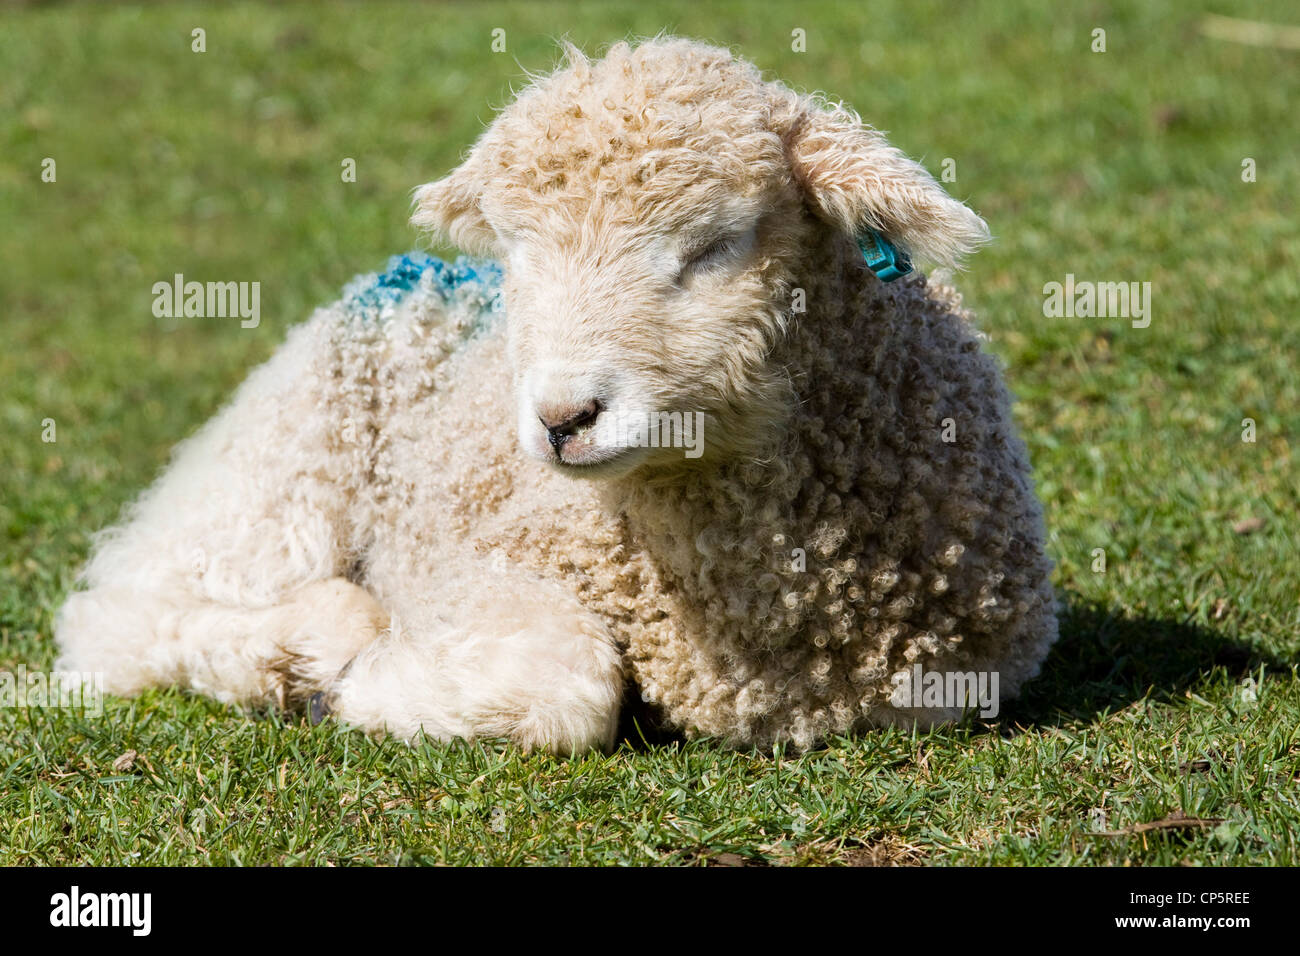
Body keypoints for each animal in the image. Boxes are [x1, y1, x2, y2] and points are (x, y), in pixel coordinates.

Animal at [55, 37, 1058, 754]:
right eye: (518, 251)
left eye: (718, 245)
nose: (561, 420)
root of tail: (403, 271)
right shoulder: (467, 563)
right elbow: (570, 678)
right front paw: (364, 681)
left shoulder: (961, 667)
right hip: (280, 467)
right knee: (118, 617)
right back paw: (304, 646)